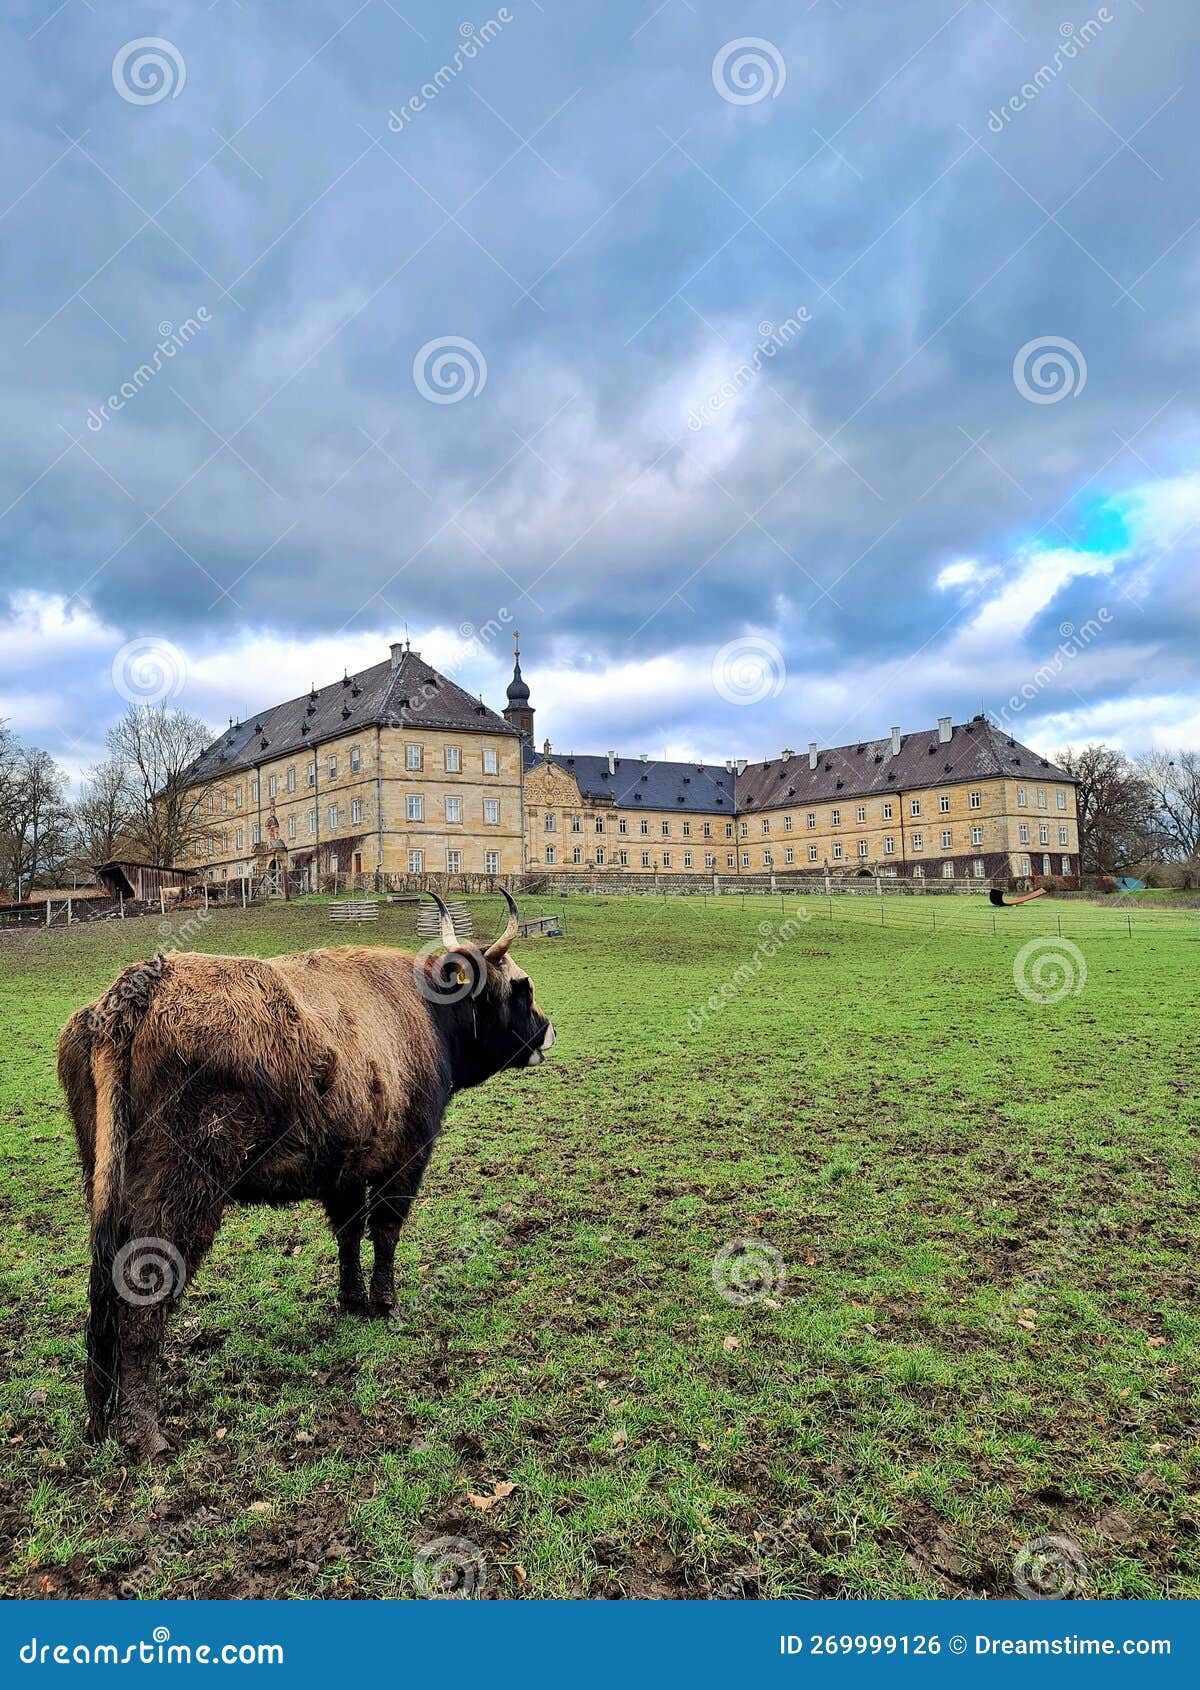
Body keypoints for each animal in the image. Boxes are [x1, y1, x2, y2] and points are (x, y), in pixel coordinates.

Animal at [56, 889, 555, 1460]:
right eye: (521, 987)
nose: (548, 1030)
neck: (427, 1015)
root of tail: (140, 985)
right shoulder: (405, 1160)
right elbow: (385, 1231)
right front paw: (385, 1304)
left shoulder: (346, 1169)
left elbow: (349, 1234)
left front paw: (352, 1300)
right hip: (181, 1191)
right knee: (141, 1288)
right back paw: (144, 1432)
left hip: (108, 1181)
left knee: (104, 1285)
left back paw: (100, 1414)